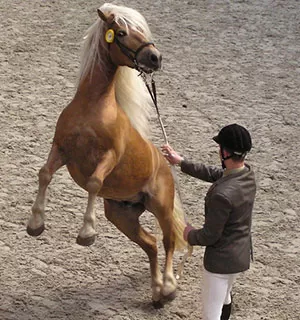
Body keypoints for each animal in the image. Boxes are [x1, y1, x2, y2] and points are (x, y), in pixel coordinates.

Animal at [27, 2, 188, 308]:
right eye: (121, 32)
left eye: (141, 30)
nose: (155, 57)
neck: (92, 108)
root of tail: (165, 164)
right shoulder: (61, 150)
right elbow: (44, 174)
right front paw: (35, 225)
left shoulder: (108, 157)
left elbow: (94, 183)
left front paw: (87, 233)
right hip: (121, 215)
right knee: (151, 243)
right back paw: (157, 292)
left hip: (160, 206)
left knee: (169, 240)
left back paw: (169, 286)